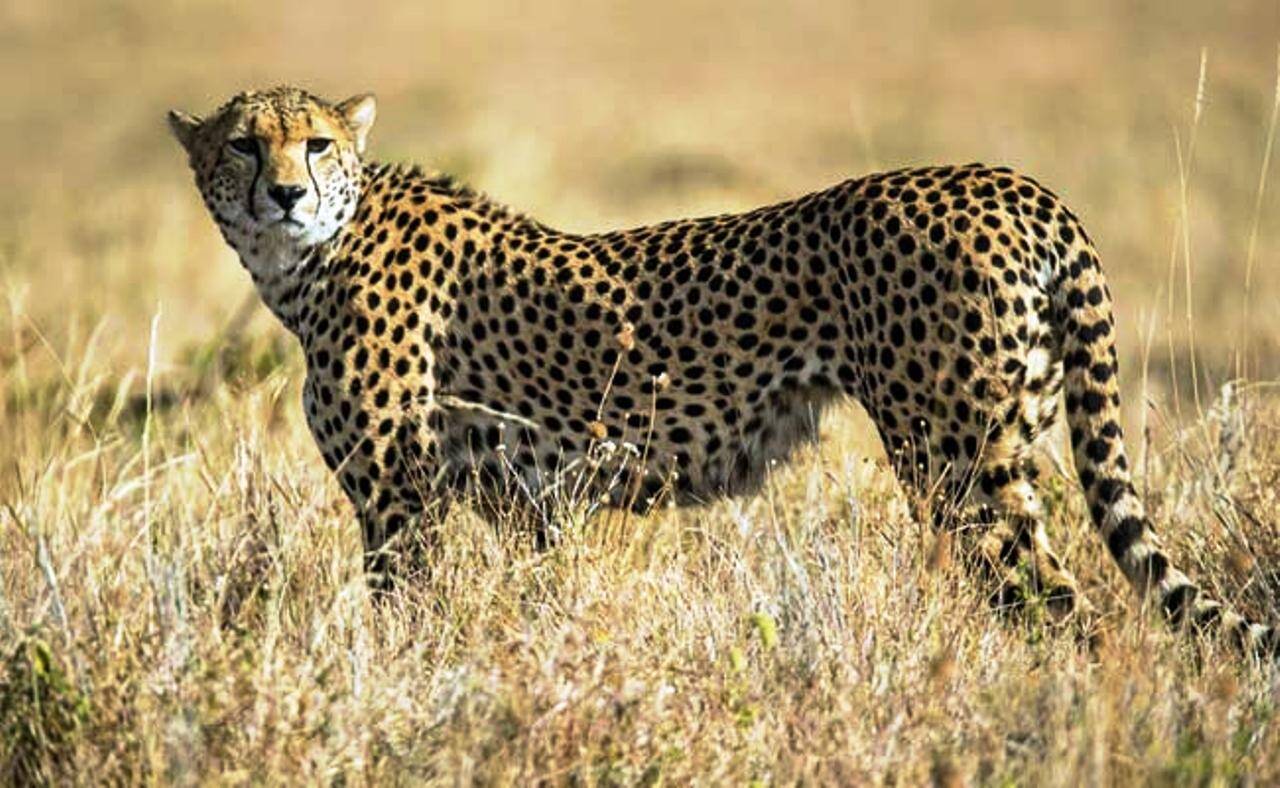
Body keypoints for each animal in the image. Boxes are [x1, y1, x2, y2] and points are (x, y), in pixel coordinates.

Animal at [169, 86, 1275, 655]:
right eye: (243, 144)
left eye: (315, 143)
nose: (283, 193)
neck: (310, 258)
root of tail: (1007, 180)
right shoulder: (524, 505)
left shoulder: (400, 502)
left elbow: (403, 617)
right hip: (1014, 426)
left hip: (958, 462)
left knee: (1060, 605)